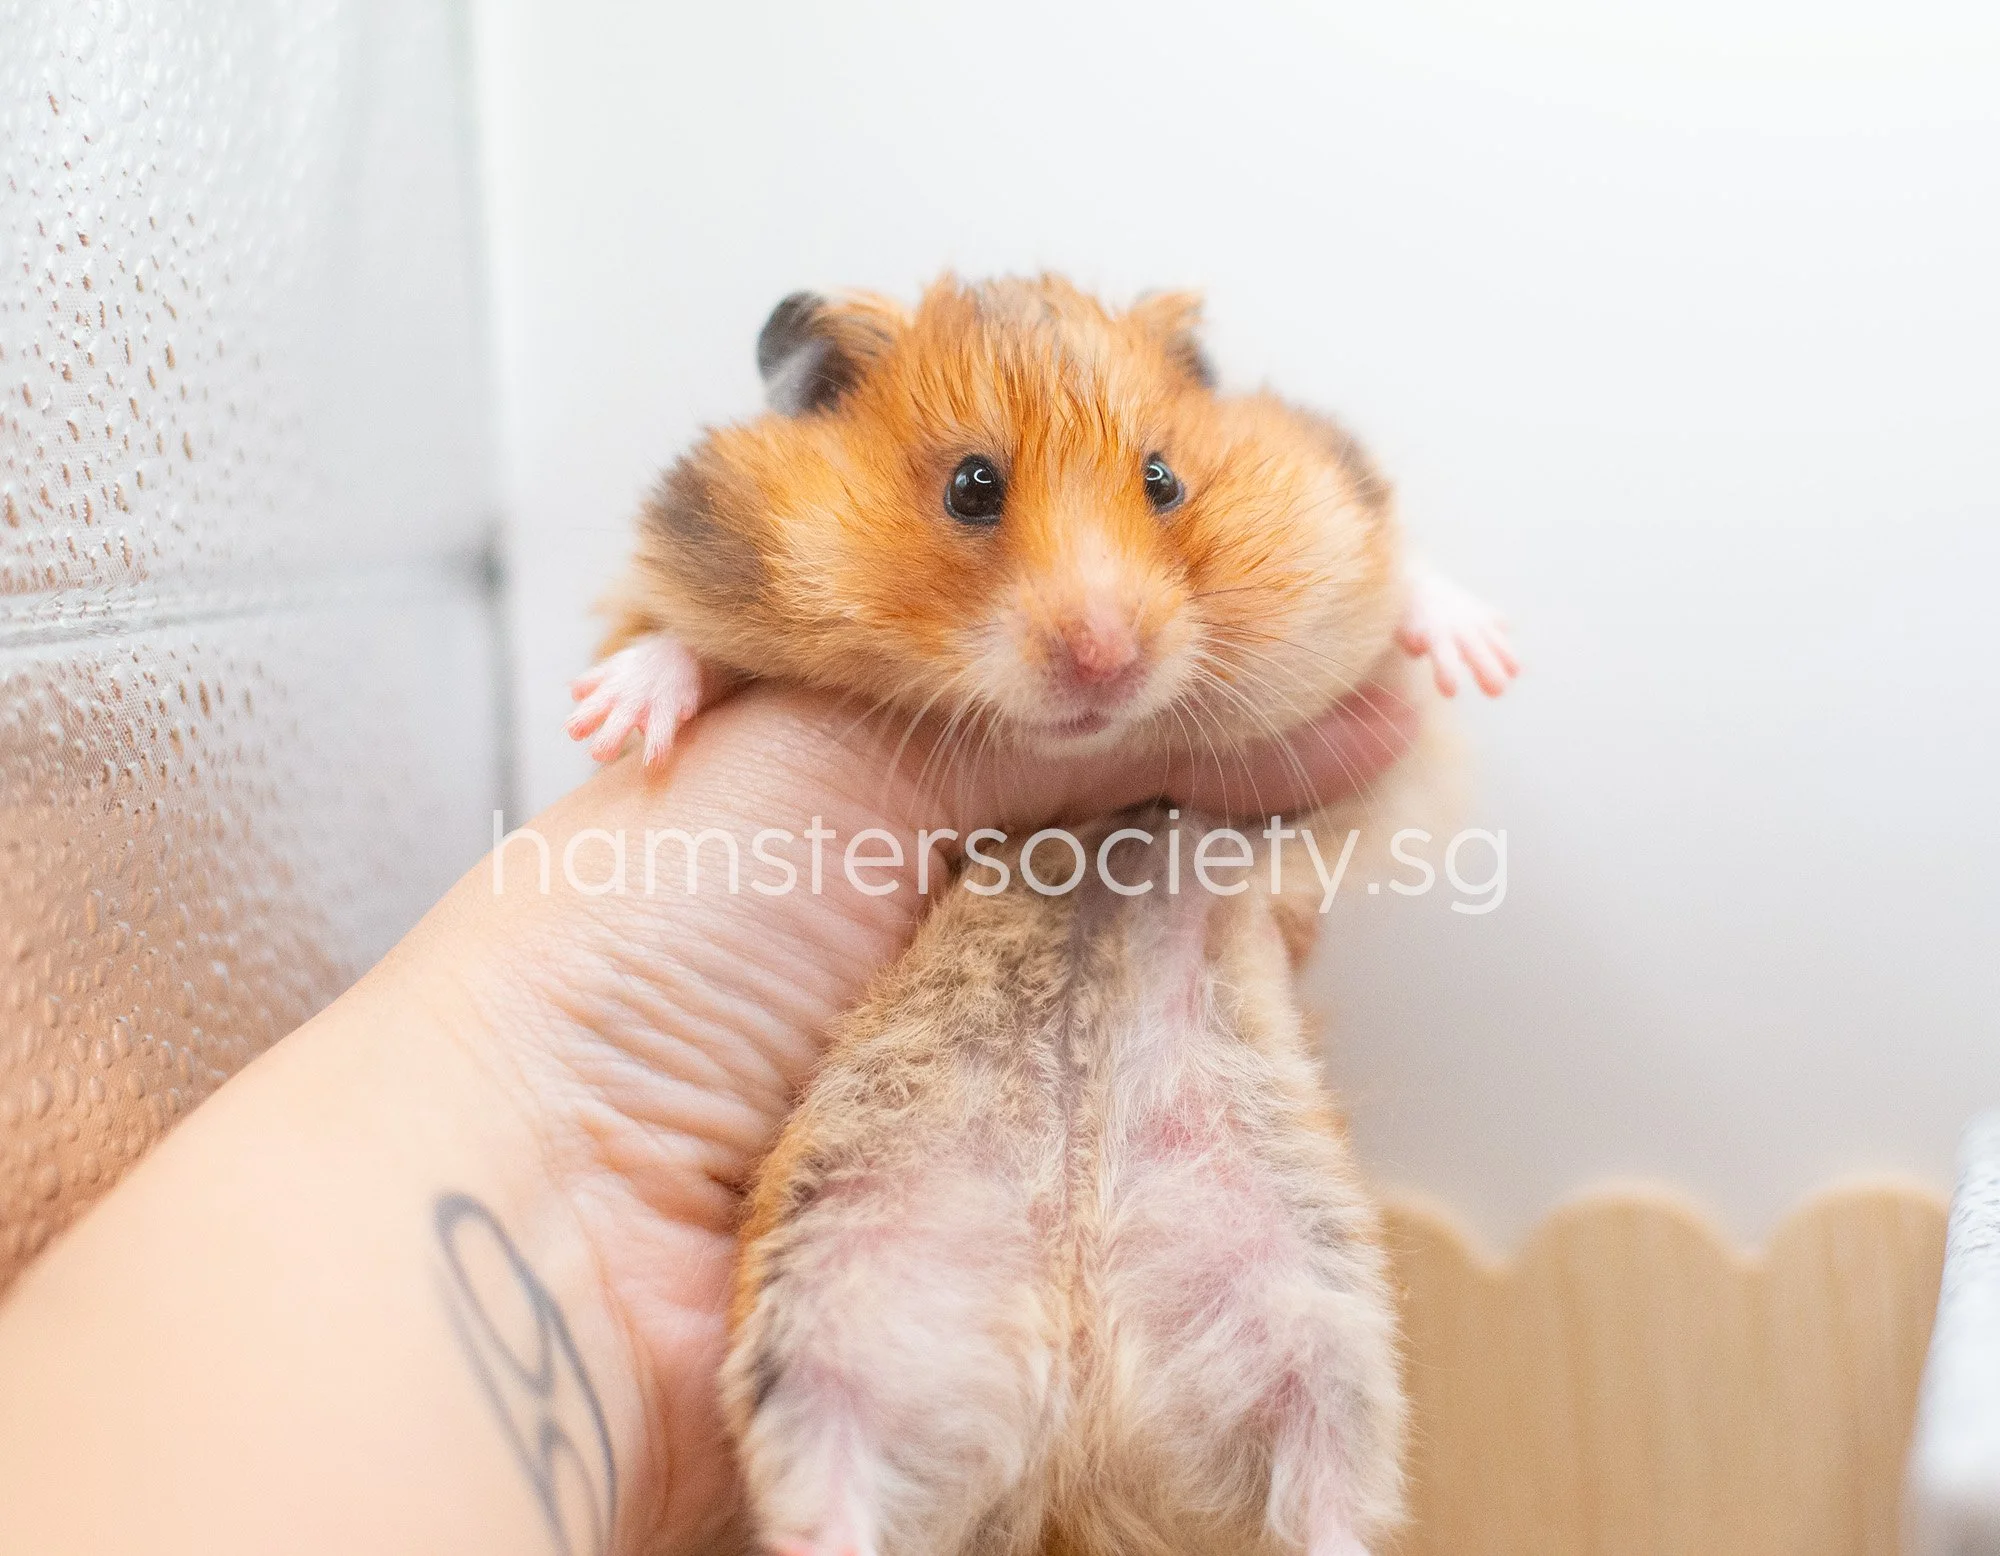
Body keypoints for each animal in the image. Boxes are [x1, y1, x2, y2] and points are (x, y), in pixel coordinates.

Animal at [573, 276, 1516, 1556]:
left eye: (1164, 478)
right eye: (972, 485)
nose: (1106, 657)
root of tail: (1075, 1443)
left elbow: (1400, 608)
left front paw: (1485, 654)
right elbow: (665, 640)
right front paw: (616, 723)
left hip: (1323, 1328)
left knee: (1327, 1501)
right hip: (816, 1329)